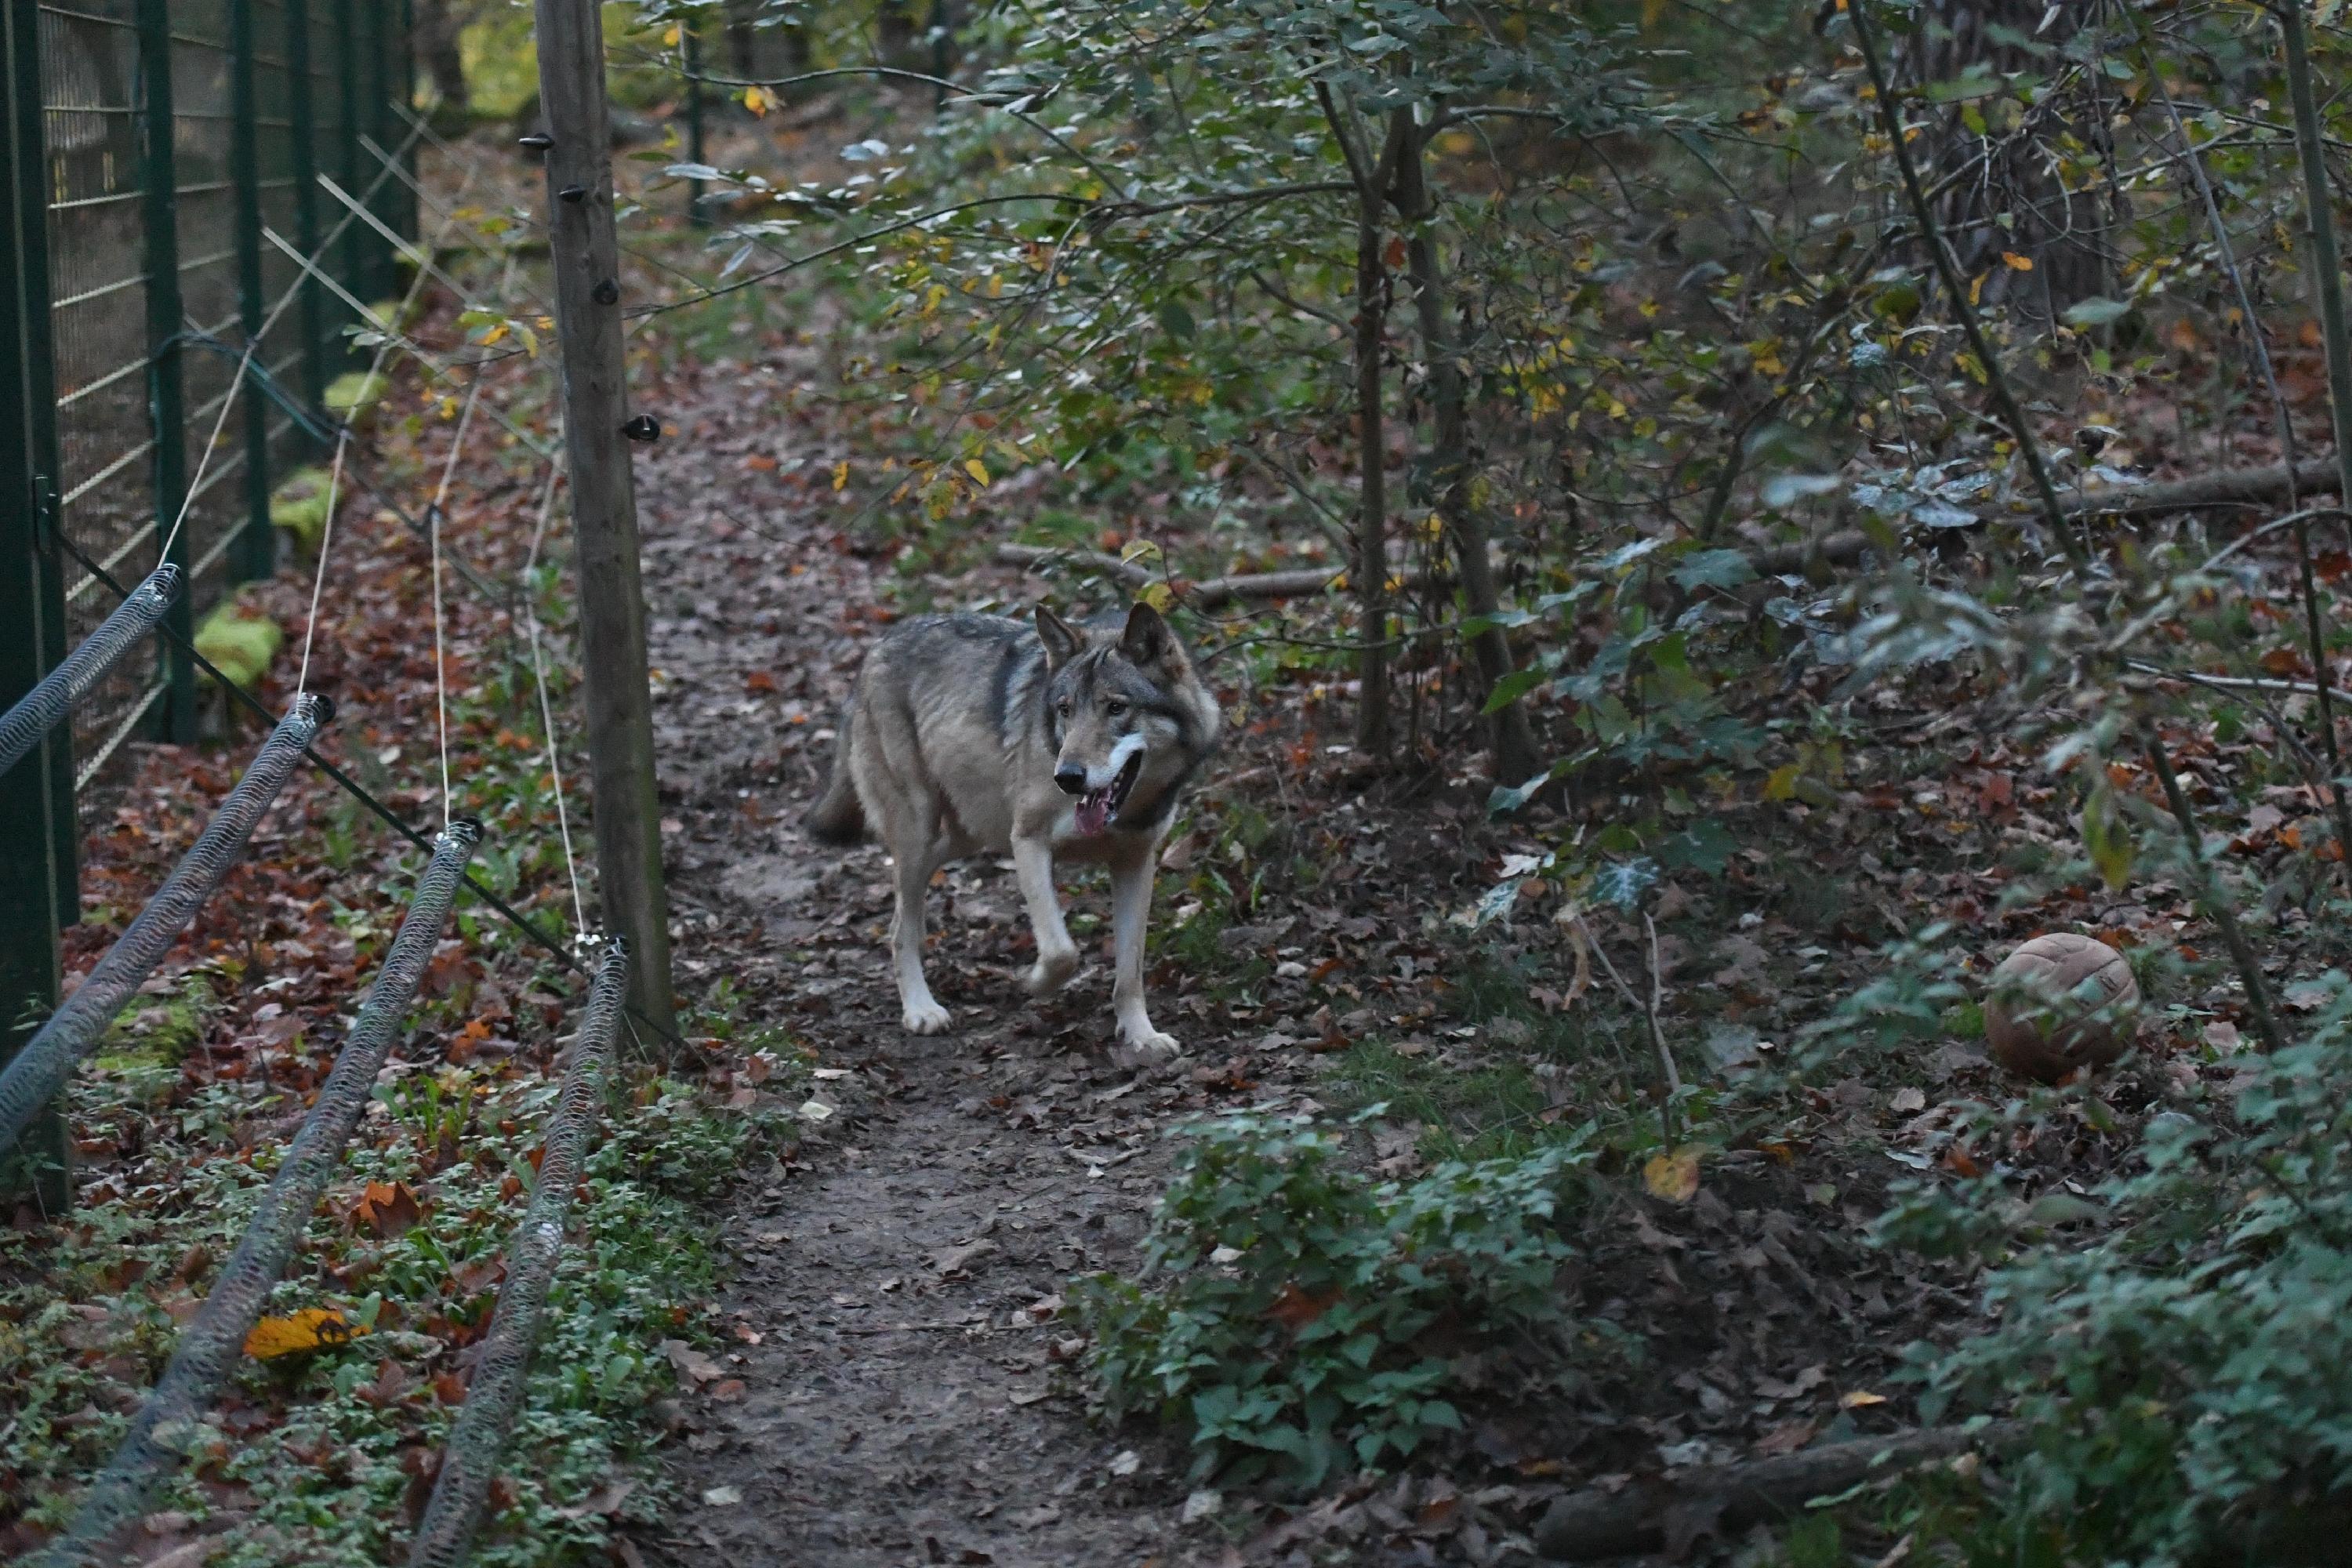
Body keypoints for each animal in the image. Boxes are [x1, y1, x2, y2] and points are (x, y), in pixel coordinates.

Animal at [803, 601, 1220, 1056]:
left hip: (966, 836)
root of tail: (878, 645)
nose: (1067, 777)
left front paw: (1142, 1036)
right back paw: (921, 1011)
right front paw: (1033, 983)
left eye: (1115, 707)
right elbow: (1061, 951)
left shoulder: (1136, 862)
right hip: (921, 832)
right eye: (1065, 709)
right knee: (900, 930)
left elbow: (1130, 968)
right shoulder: (1028, 842)